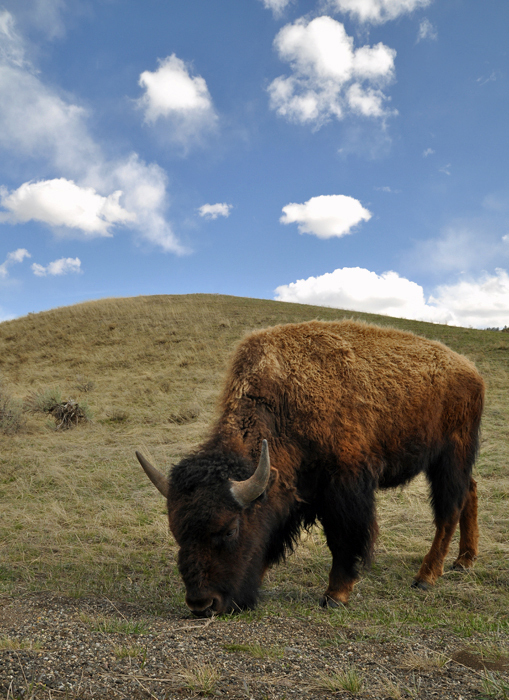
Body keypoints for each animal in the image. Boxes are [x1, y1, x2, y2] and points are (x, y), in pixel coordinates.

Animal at [137, 320, 484, 615]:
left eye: (230, 529)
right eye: (177, 531)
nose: (201, 604)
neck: (284, 400)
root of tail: (471, 370)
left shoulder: (344, 486)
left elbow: (343, 538)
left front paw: (335, 596)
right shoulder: (297, 490)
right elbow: (274, 535)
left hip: (451, 456)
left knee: (448, 510)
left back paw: (426, 577)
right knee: (470, 491)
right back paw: (464, 561)